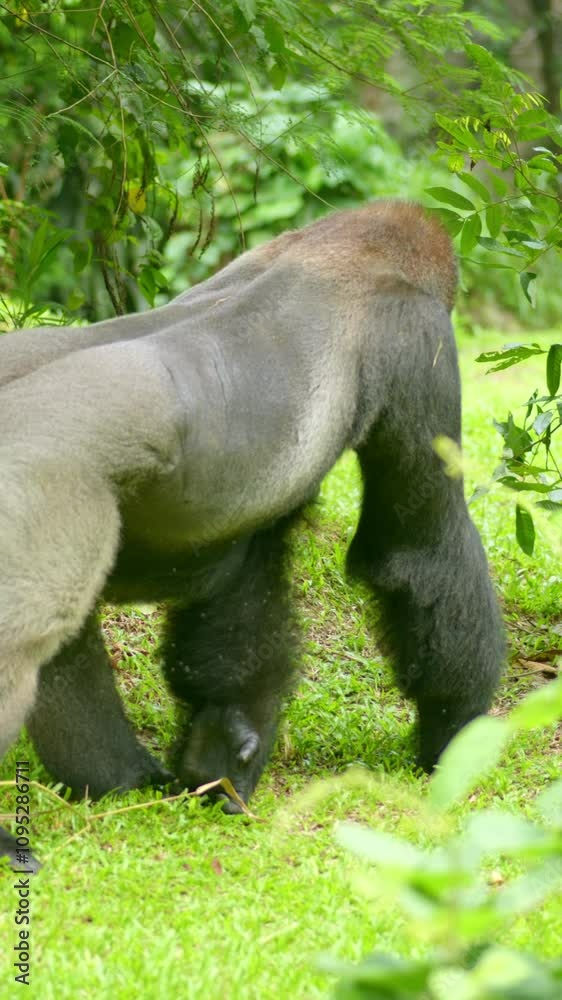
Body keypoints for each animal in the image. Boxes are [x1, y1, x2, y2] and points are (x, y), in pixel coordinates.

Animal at [0, 200, 504, 870]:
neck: (334, 249)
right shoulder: (414, 338)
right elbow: (416, 554)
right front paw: (455, 736)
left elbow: (241, 592)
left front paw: (222, 748)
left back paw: (118, 781)